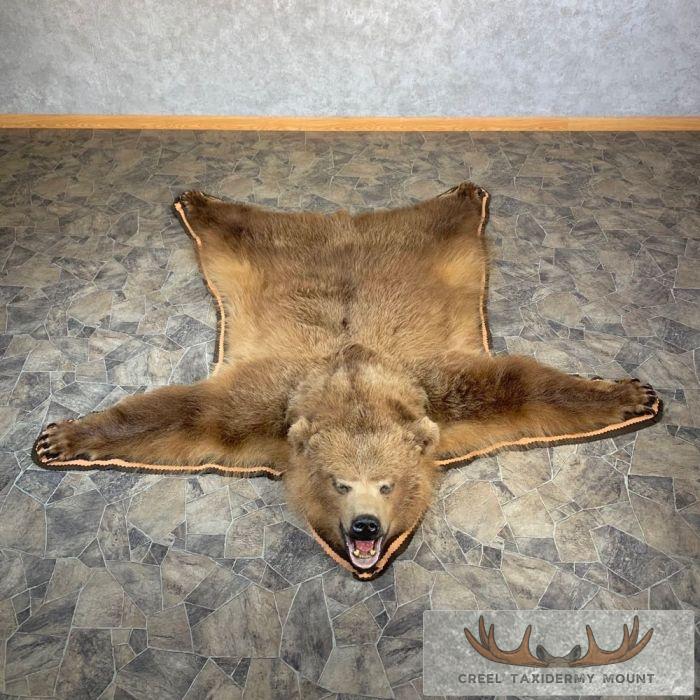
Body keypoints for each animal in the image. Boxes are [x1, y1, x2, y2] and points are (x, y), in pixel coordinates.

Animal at [34, 182, 659, 575]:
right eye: (338, 483)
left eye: (388, 484)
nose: (364, 530)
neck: (352, 377)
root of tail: (342, 226)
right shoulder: (262, 409)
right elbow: (182, 414)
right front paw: (61, 437)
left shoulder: (440, 392)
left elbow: (519, 385)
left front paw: (633, 395)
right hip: (263, 252)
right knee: (236, 228)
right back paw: (198, 200)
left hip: (435, 247)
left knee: (450, 223)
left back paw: (463, 194)